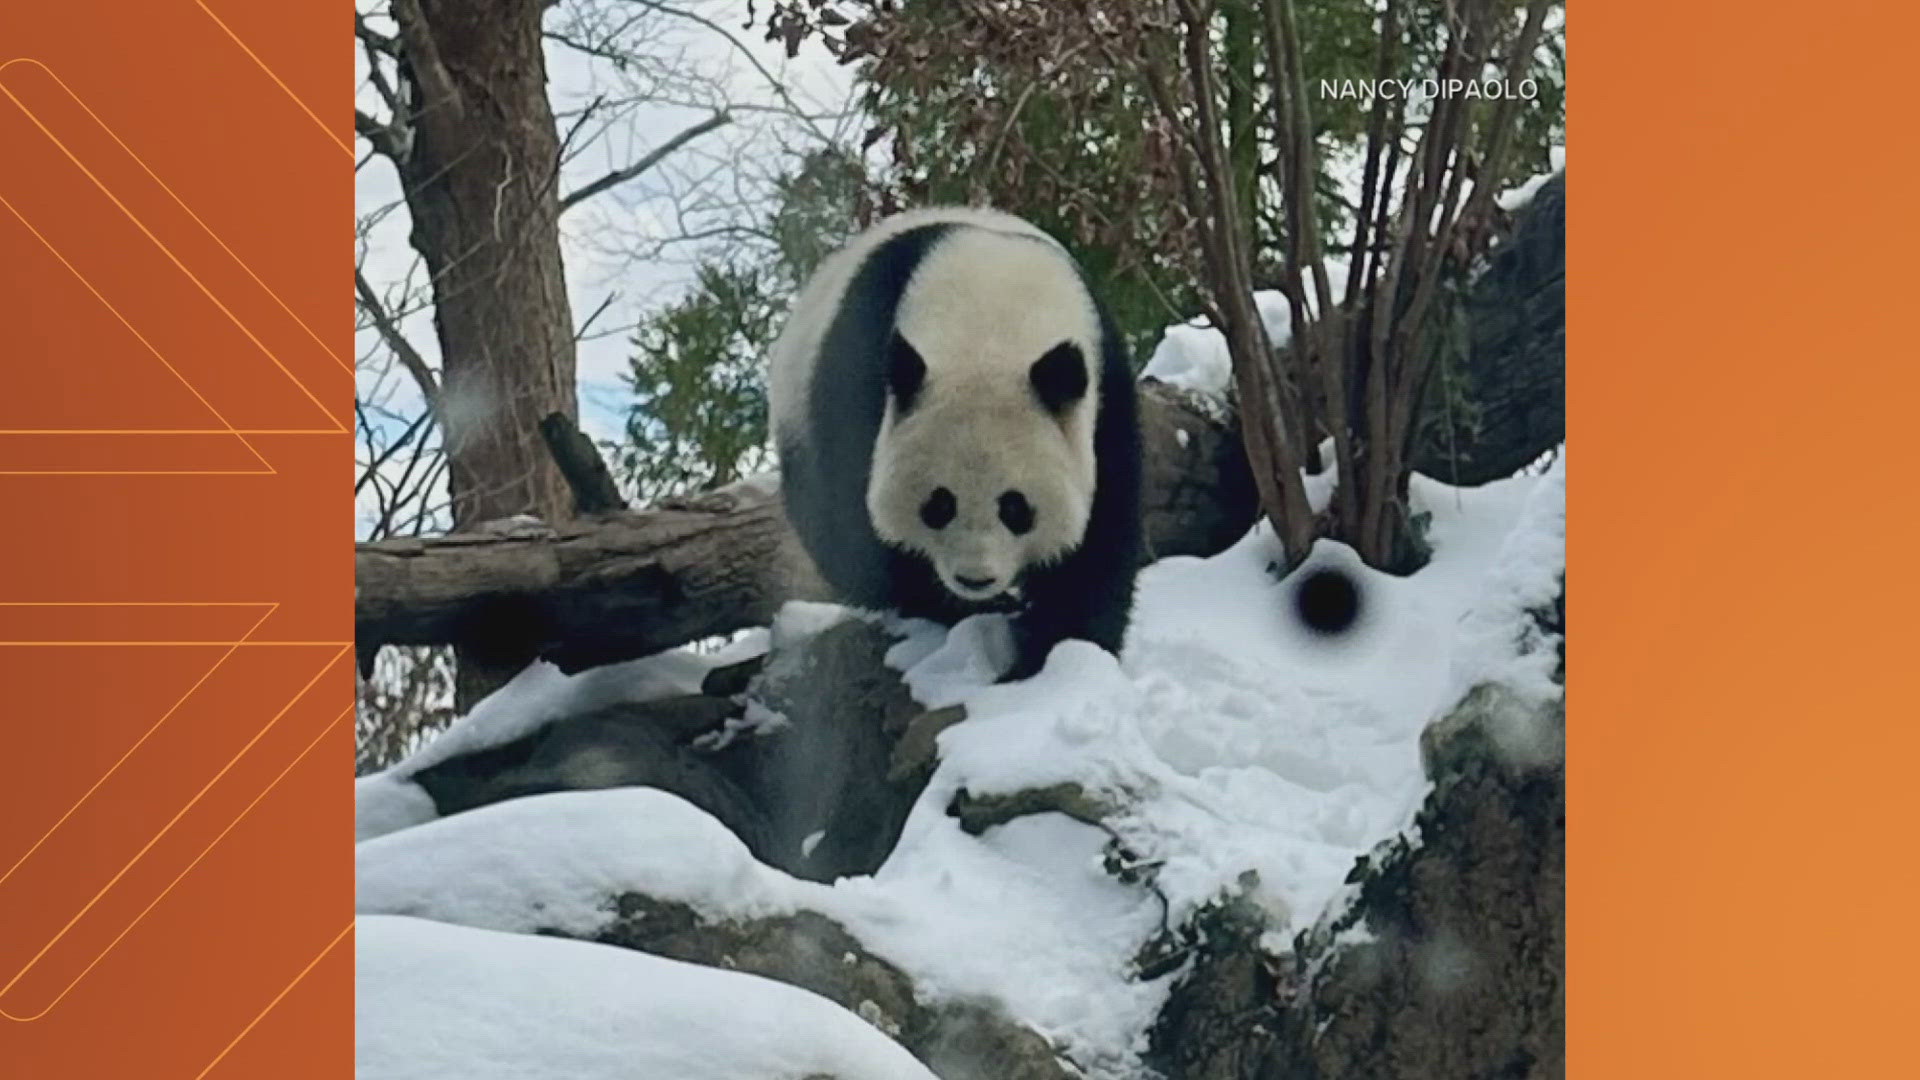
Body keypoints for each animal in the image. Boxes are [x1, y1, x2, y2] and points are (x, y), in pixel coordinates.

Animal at [768, 207, 1143, 682]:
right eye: (939, 504)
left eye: (1015, 508)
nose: (974, 580)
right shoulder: (859, 368)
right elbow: (860, 519)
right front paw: (952, 606)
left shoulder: (1104, 392)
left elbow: (1100, 538)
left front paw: (1053, 660)